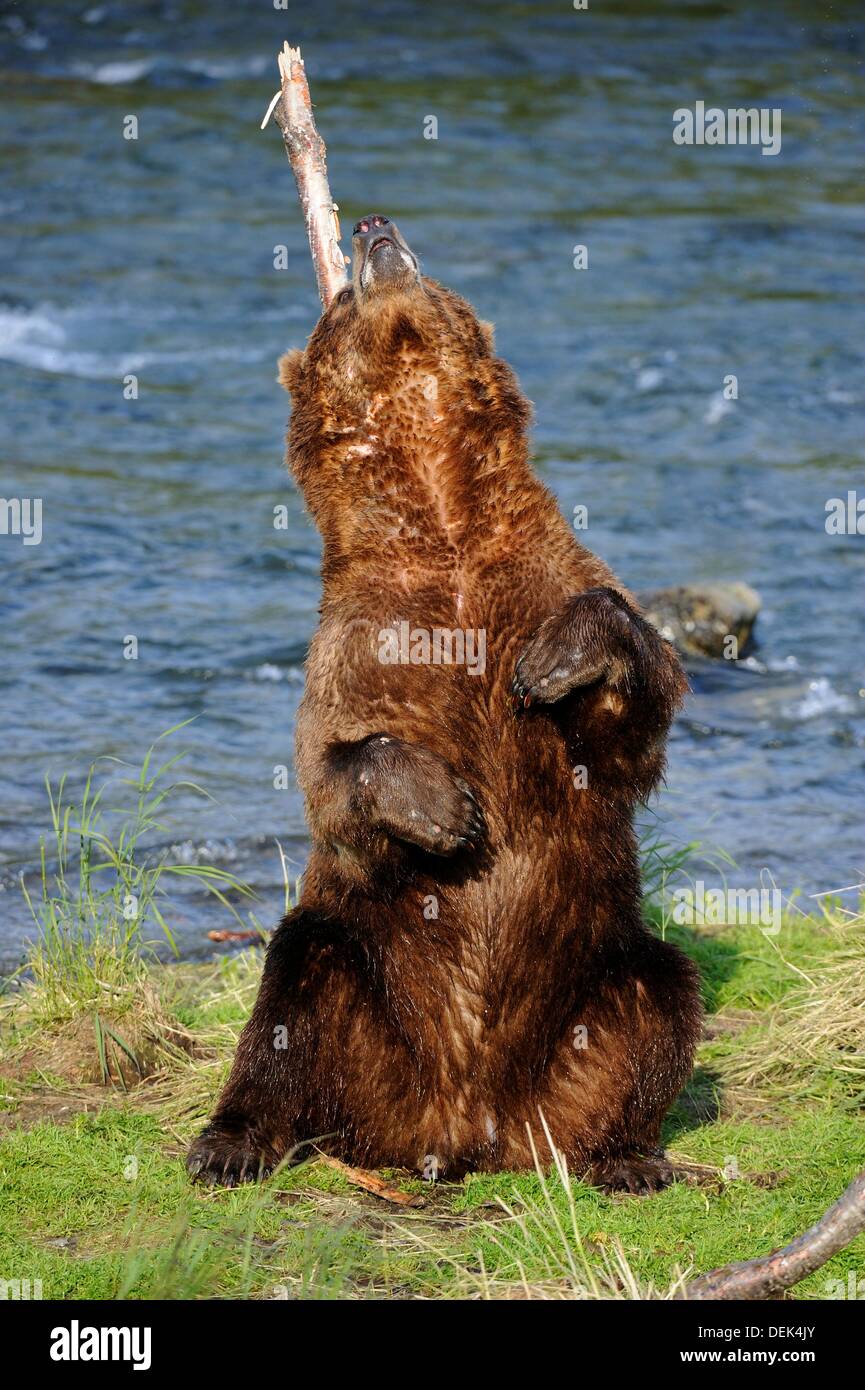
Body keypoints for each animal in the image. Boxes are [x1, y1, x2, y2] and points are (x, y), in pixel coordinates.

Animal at [187, 212, 702, 1194]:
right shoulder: (362, 637)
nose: (372, 226)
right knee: (295, 981)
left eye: (437, 277)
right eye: (336, 305)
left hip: (584, 1000)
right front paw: (441, 807)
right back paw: (231, 1142)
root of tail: (465, 1127)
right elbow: (328, 767)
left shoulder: (538, 575)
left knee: (657, 988)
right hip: (369, 1027)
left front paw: (560, 659)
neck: (442, 519)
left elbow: (630, 720)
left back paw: (626, 1156)